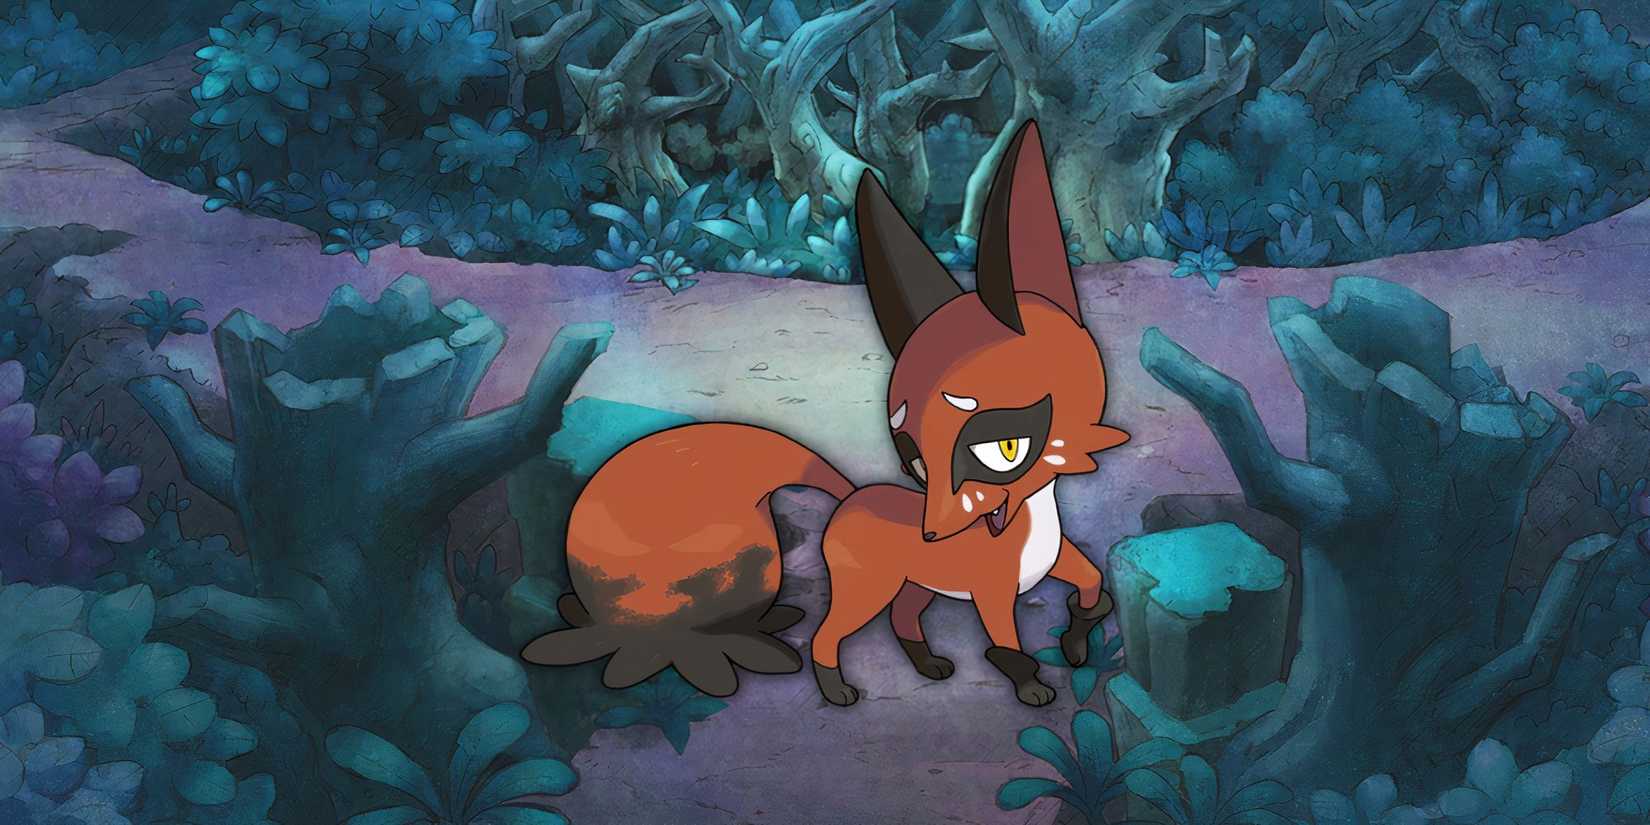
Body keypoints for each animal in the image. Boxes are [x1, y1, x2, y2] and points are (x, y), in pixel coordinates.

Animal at [520, 120, 1130, 707]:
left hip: (910, 584)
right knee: (828, 635)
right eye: (916, 461)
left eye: (1006, 449)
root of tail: (852, 497)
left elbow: (1092, 584)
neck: (1034, 520)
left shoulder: (1057, 562)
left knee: (902, 617)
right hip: (868, 589)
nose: (933, 536)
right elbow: (1008, 646)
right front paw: (1033, 688)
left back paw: (927, 667)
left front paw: (1078, 640)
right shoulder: (992, 594)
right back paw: (838, 691)